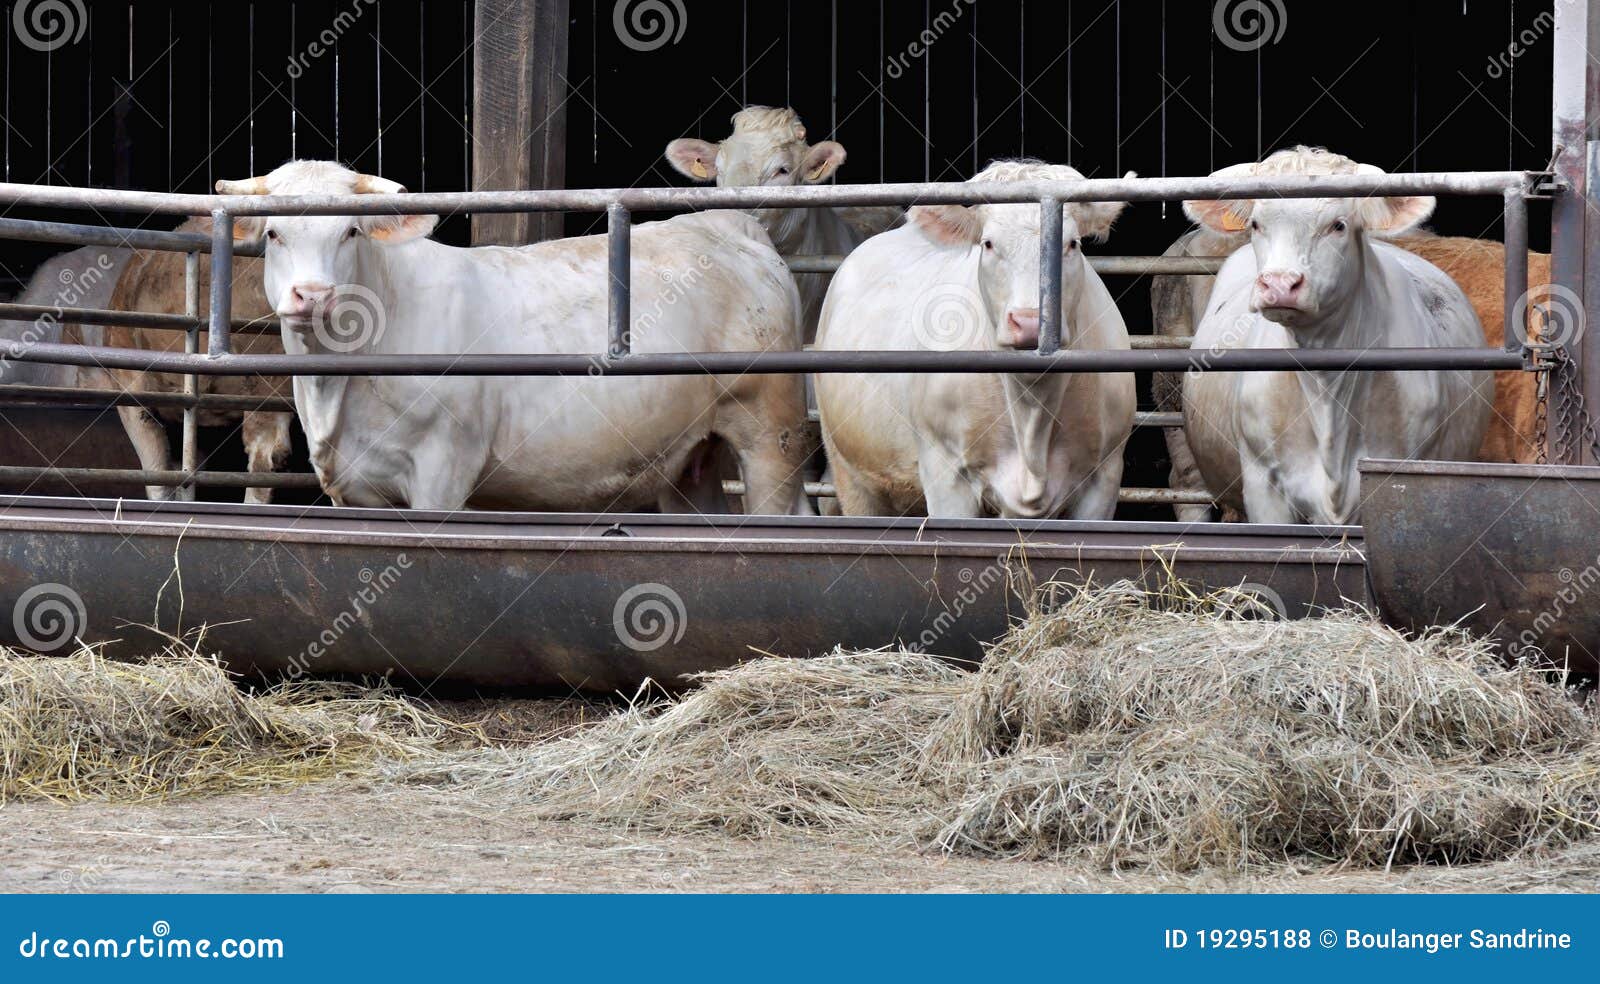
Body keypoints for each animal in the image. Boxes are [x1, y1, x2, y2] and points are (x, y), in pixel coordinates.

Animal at [215, 160, 811, 514]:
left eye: (351, 231)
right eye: (274, 233)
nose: (313, 295)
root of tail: (726, 225)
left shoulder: (443, 466)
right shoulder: (353, 486)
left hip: (770, 430)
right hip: (690, 457)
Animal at [814, 160, 1136, 520]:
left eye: (1072, 244)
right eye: (989, 244)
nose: (1028, 322)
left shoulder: (1104, 476)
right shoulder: (945, 472)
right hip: (849, 470)